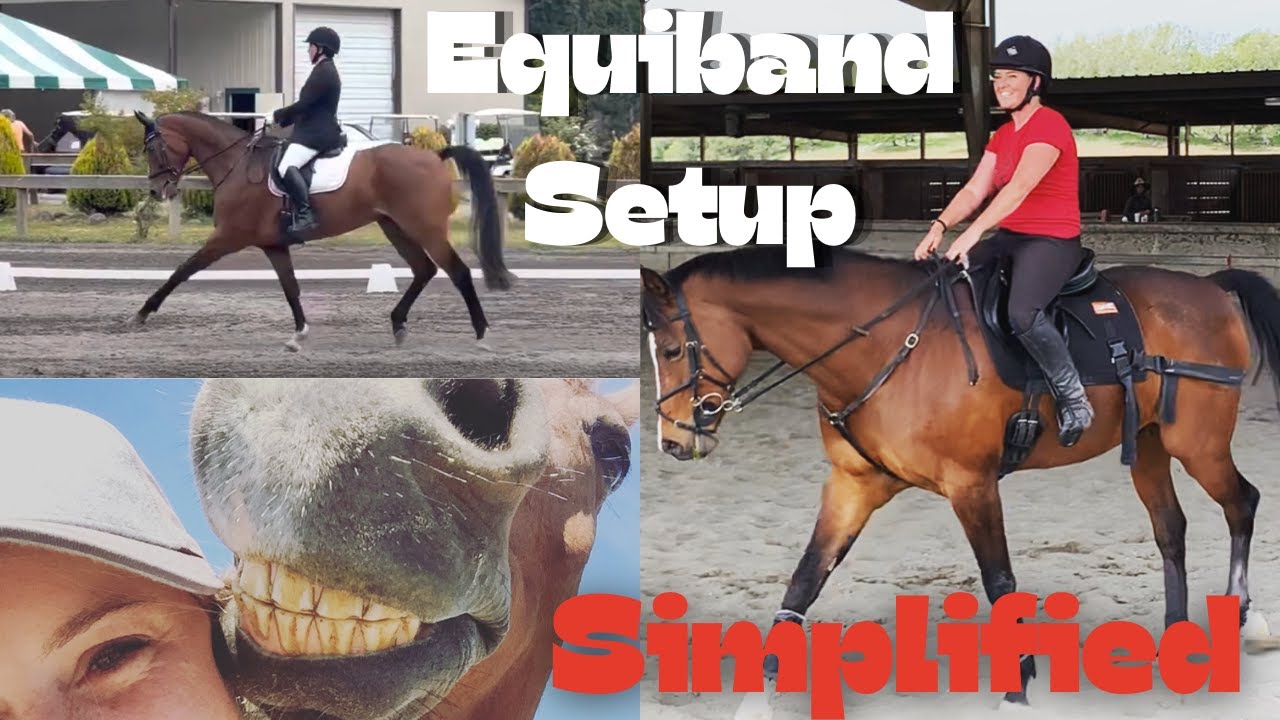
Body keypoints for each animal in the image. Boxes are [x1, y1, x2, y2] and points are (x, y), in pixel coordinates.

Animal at [130, 111, 514, 350]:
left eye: (154, 147)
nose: (157, 190)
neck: (237, 165)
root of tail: (435, 156)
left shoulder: (227, 237)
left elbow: (183, 271)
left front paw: (142, 313)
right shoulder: (273, 245)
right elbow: (291, 289)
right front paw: (299, 335)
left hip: (425, 228)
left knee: (458, 272)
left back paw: (483, 335)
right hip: (395, 227)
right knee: (424, 270)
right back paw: (398, 325)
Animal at [641, 244, 1280, 715]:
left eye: (672, 349)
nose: (672, 441)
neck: (887, 345)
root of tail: (1209, 289)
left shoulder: (972, 485)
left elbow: (1000, 583)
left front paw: (1017, 688)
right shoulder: (852, 485)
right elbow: (803, 582)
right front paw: (759, 693)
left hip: (1197, 445)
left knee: (1242, 504)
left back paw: (1246, 618)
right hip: (1148, 446)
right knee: (1171, 528)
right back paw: (1174, 639)